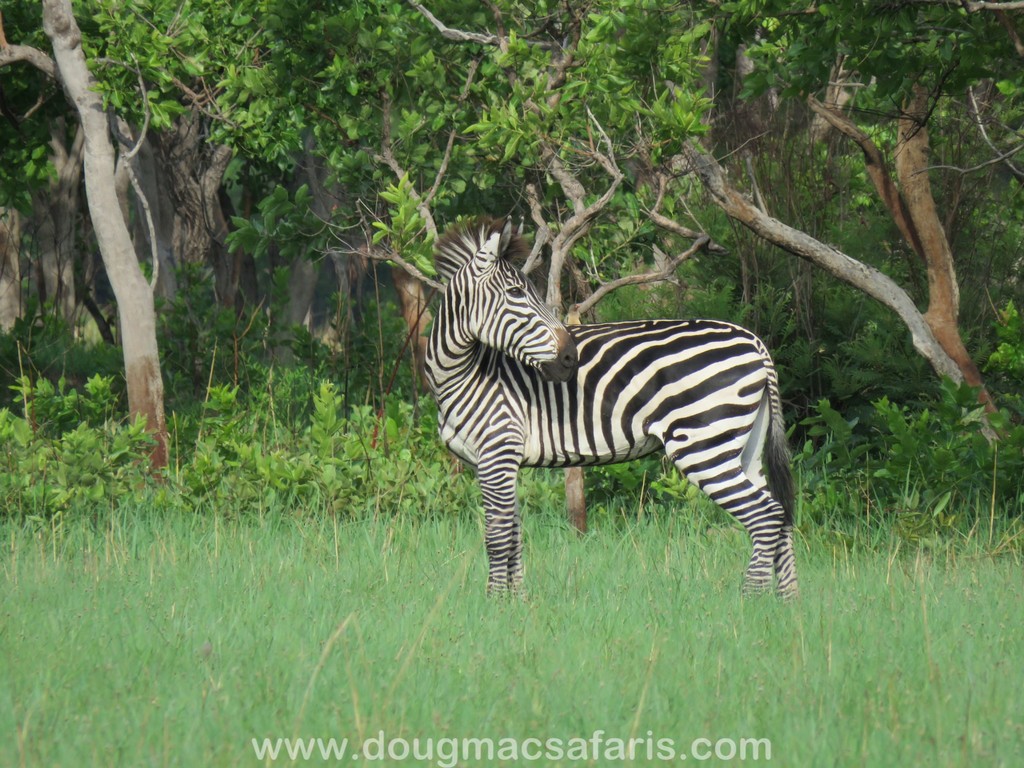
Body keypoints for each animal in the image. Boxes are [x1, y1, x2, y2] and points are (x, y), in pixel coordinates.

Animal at [424, 217, 798, 599]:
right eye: (515, 293)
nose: (569, 357)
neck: (463, 372)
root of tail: (753, 341)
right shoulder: (497, 461)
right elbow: (514, 537)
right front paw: (517, 602)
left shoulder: (498, 451)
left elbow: (498, 537)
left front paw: (495, 602)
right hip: (743, 445)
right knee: (780, 514)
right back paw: (786, 603)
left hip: (703, 445)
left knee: (765, 515)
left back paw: (751, 598)